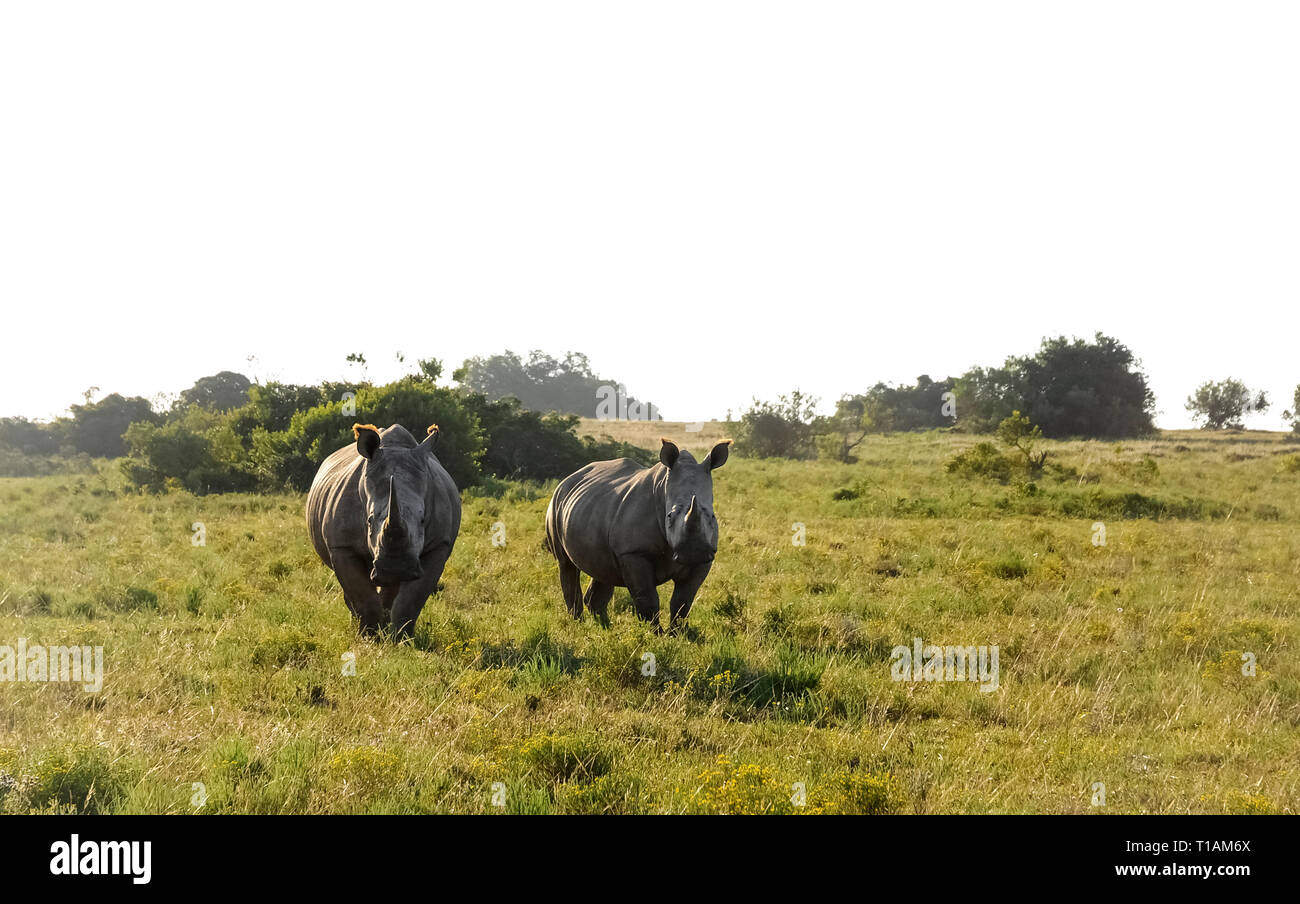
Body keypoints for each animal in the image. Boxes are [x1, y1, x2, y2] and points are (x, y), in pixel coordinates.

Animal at [306, 423, 461, 640]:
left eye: (422, 520)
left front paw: (402, 640)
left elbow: (412, 600)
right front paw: (368, 638)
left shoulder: (439, 544)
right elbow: (362, 596)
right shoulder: (342, 546)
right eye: (369, 520)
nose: (396, 567)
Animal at [544, 438, 731, 631]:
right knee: (566, 565)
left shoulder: (705, 560)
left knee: (603, 569)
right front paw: (655, 634)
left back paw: (605, 629)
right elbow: (647, 598)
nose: (693, 552)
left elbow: (683, 600)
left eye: (712, 516)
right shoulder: (632, 552)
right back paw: (578, 626)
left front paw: (677, 633)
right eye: (669, 516)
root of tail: (567, 480)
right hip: (556, 504)